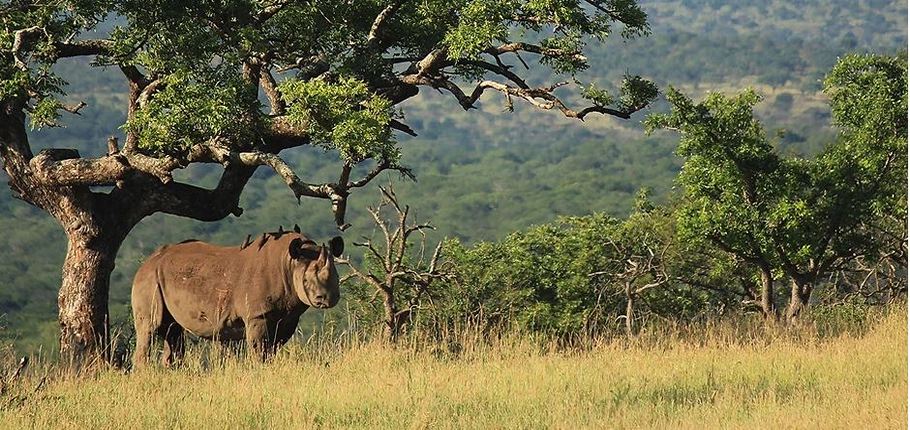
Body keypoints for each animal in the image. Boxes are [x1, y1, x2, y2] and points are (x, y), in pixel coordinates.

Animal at [131, 227, 343, 366]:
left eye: (335, 276)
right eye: (306, 281)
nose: (326, 299)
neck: (289, 264)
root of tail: (148, 260)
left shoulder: (287, 318)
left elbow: (272, 350)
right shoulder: (257, 316)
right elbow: (259, 351)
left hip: (161, 278)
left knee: (172, 331)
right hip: (148, 279)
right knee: (149, 327)